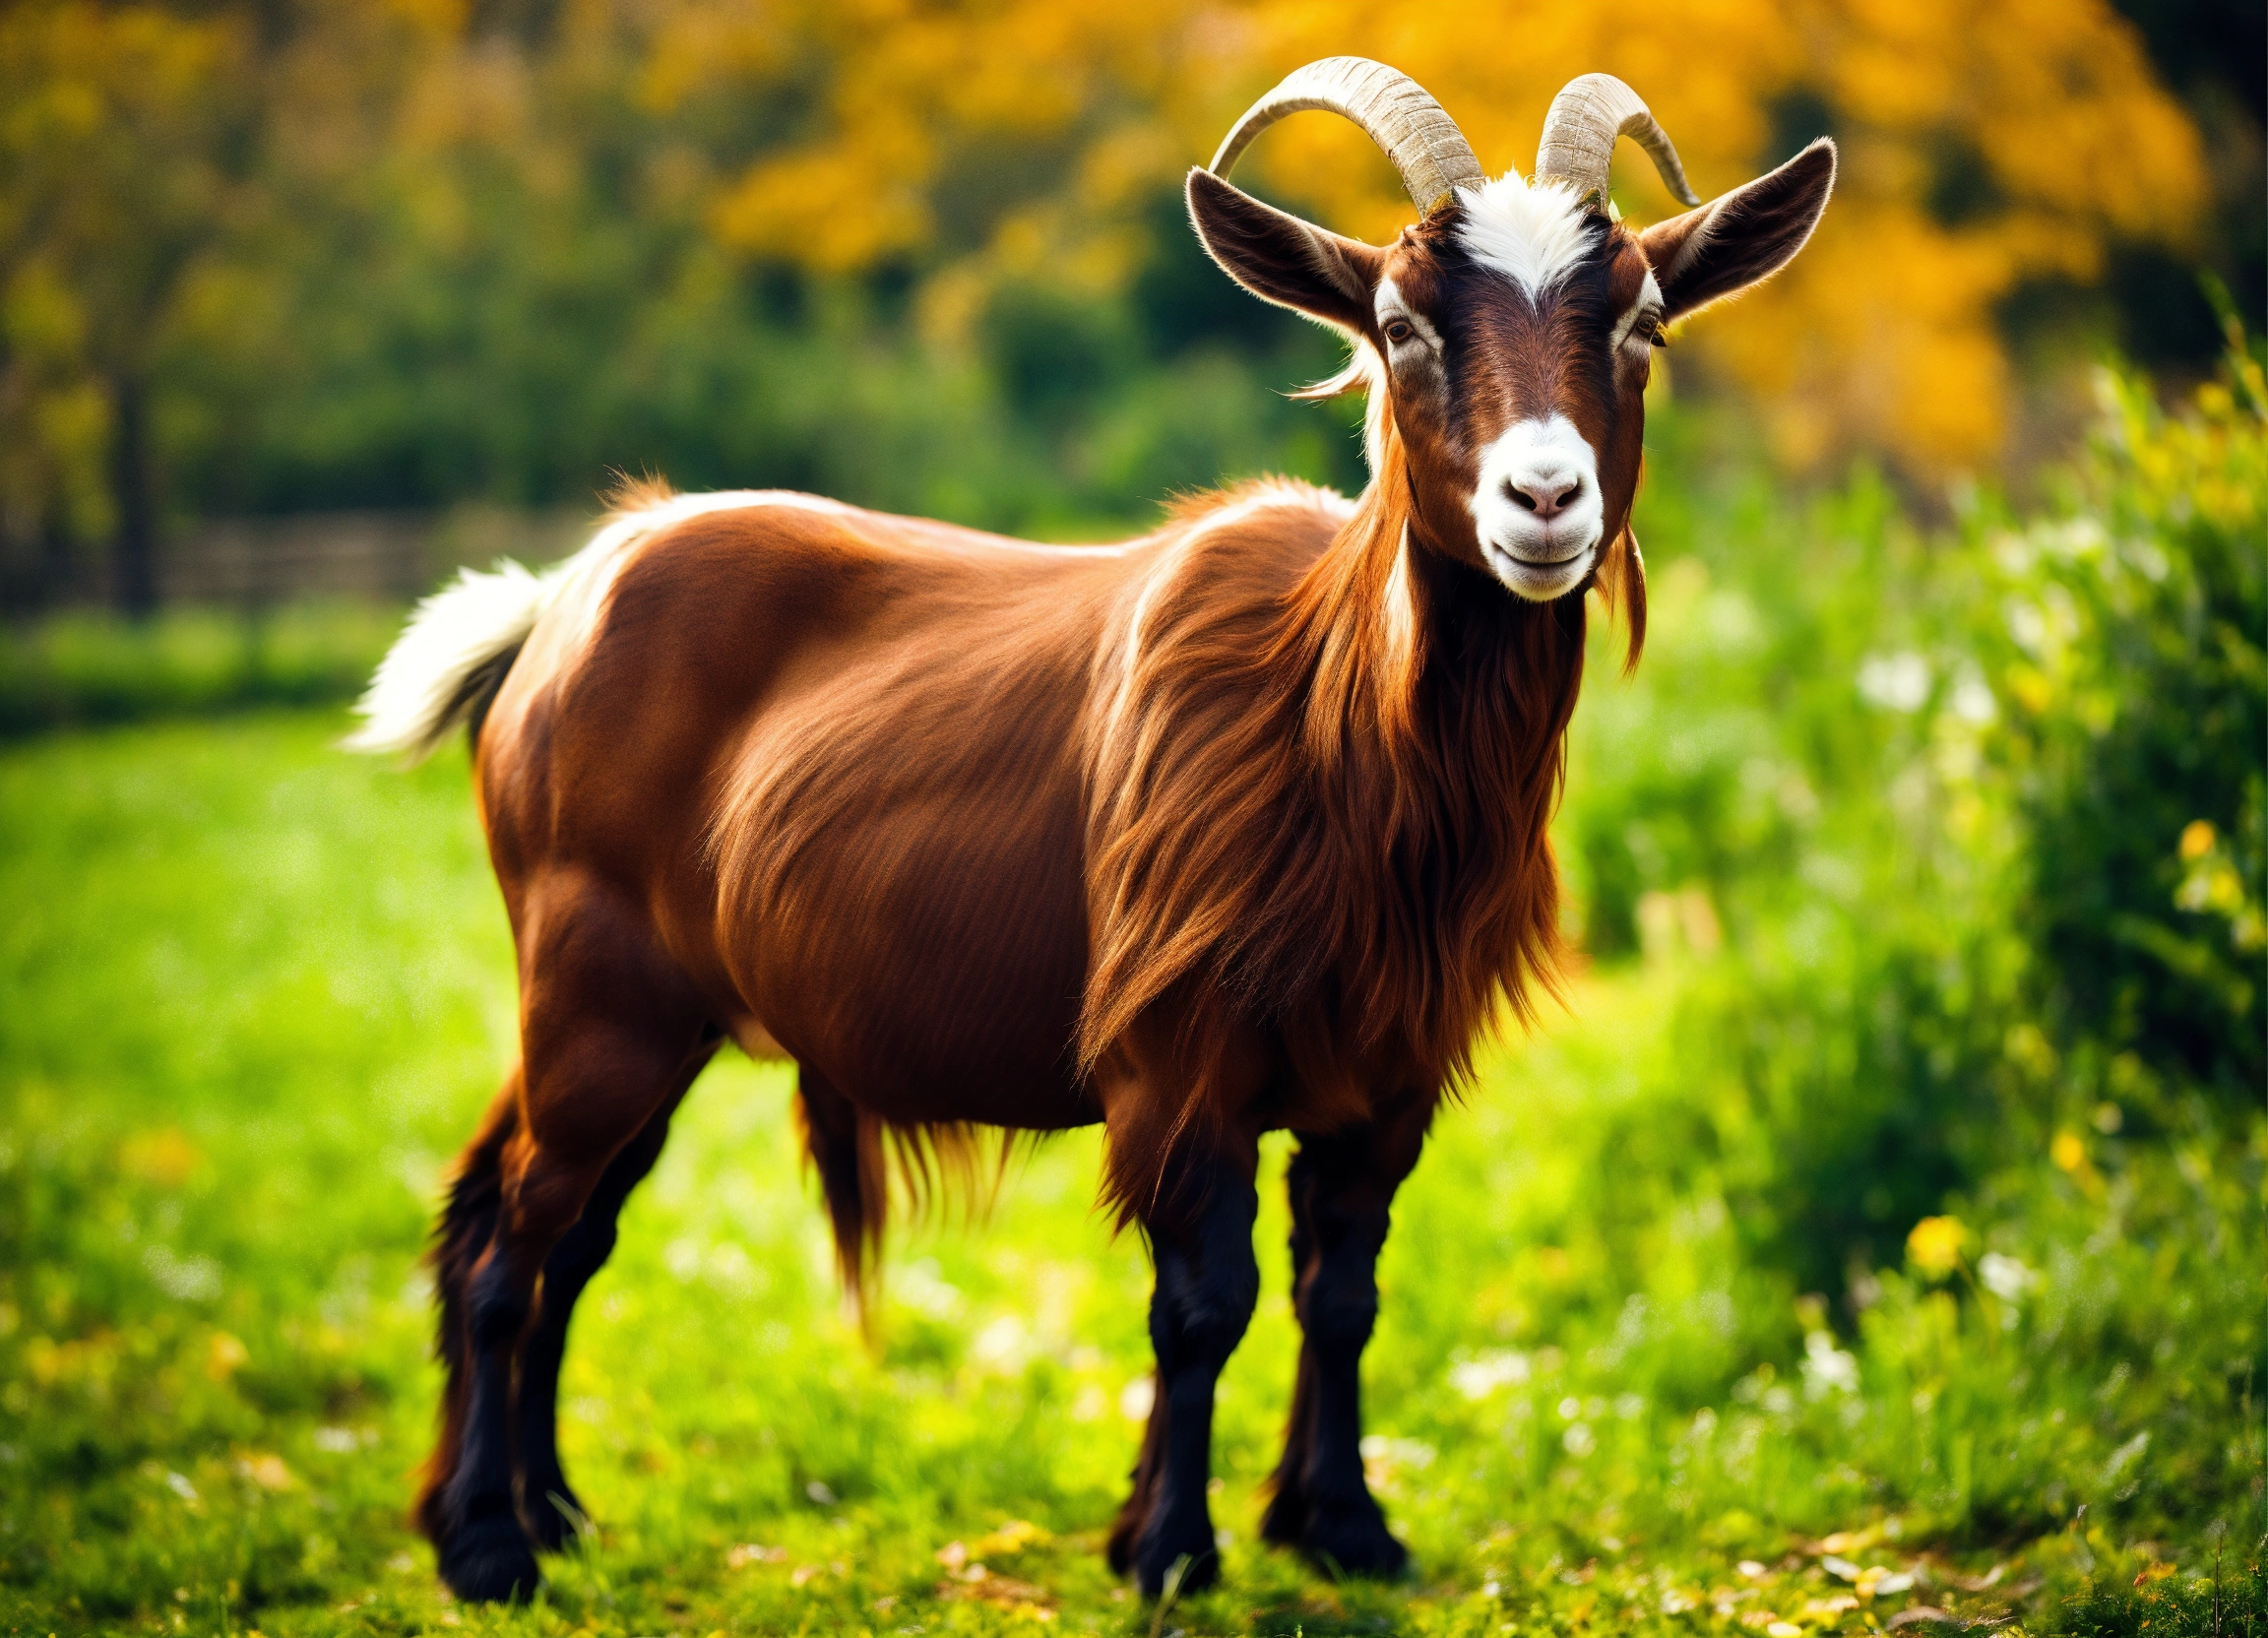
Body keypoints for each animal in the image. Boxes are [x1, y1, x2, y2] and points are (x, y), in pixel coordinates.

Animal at [350, 59, 1834, 1603]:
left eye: (1644, 324)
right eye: (1400, 325)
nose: (1544, 502)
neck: (1336, 739)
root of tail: (553, 610)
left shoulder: (1388, 1072)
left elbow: (1343, 1292)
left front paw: (1343, 1527)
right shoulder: (1179, 1060)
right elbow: (1204, 1305)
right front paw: (1171, 1550)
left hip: (655, 1012)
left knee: (543, 1225)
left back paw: (545, 1513)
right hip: (591, 986)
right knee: (518, 1242)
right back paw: (487, 1544)